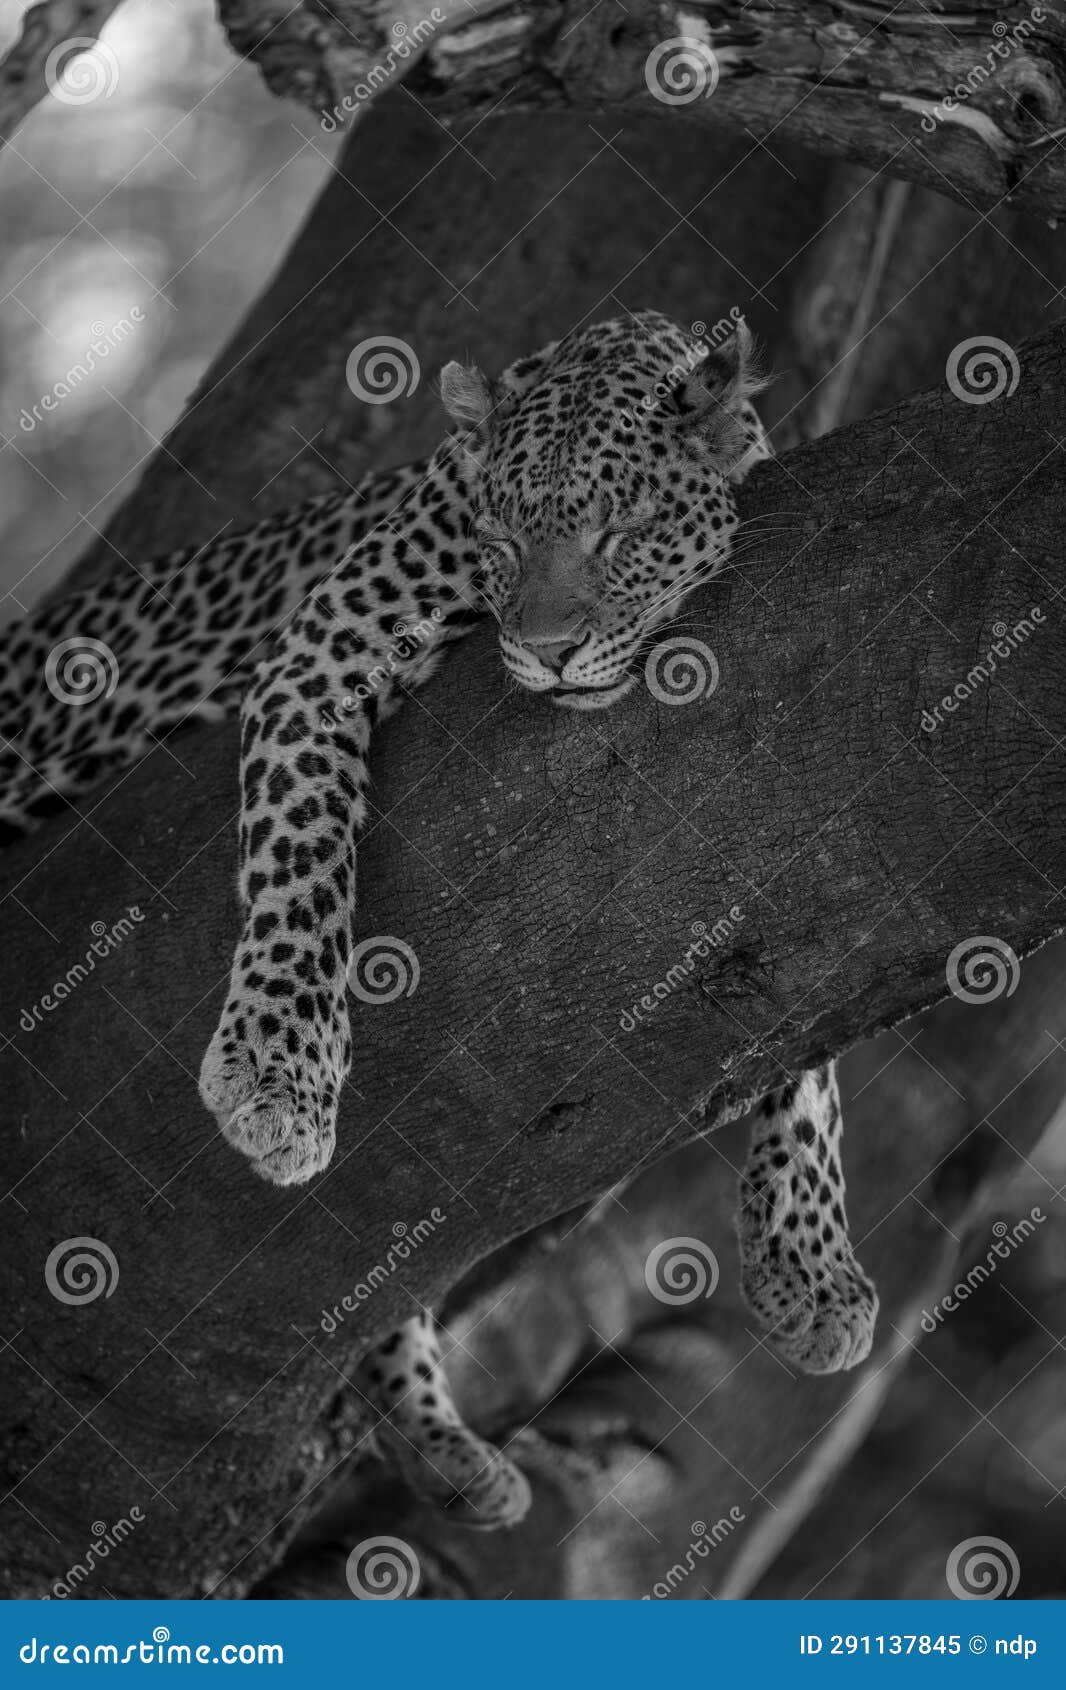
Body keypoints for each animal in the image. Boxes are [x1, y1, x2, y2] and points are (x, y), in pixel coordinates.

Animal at [2, 309, 877, 1534]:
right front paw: (278, 1072)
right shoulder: (320, 652)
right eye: (502, 537)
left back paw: (442, 1447)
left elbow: (810, 1039)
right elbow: (304, 849)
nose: (549, 652)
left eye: (621, 533)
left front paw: (810, 1268)